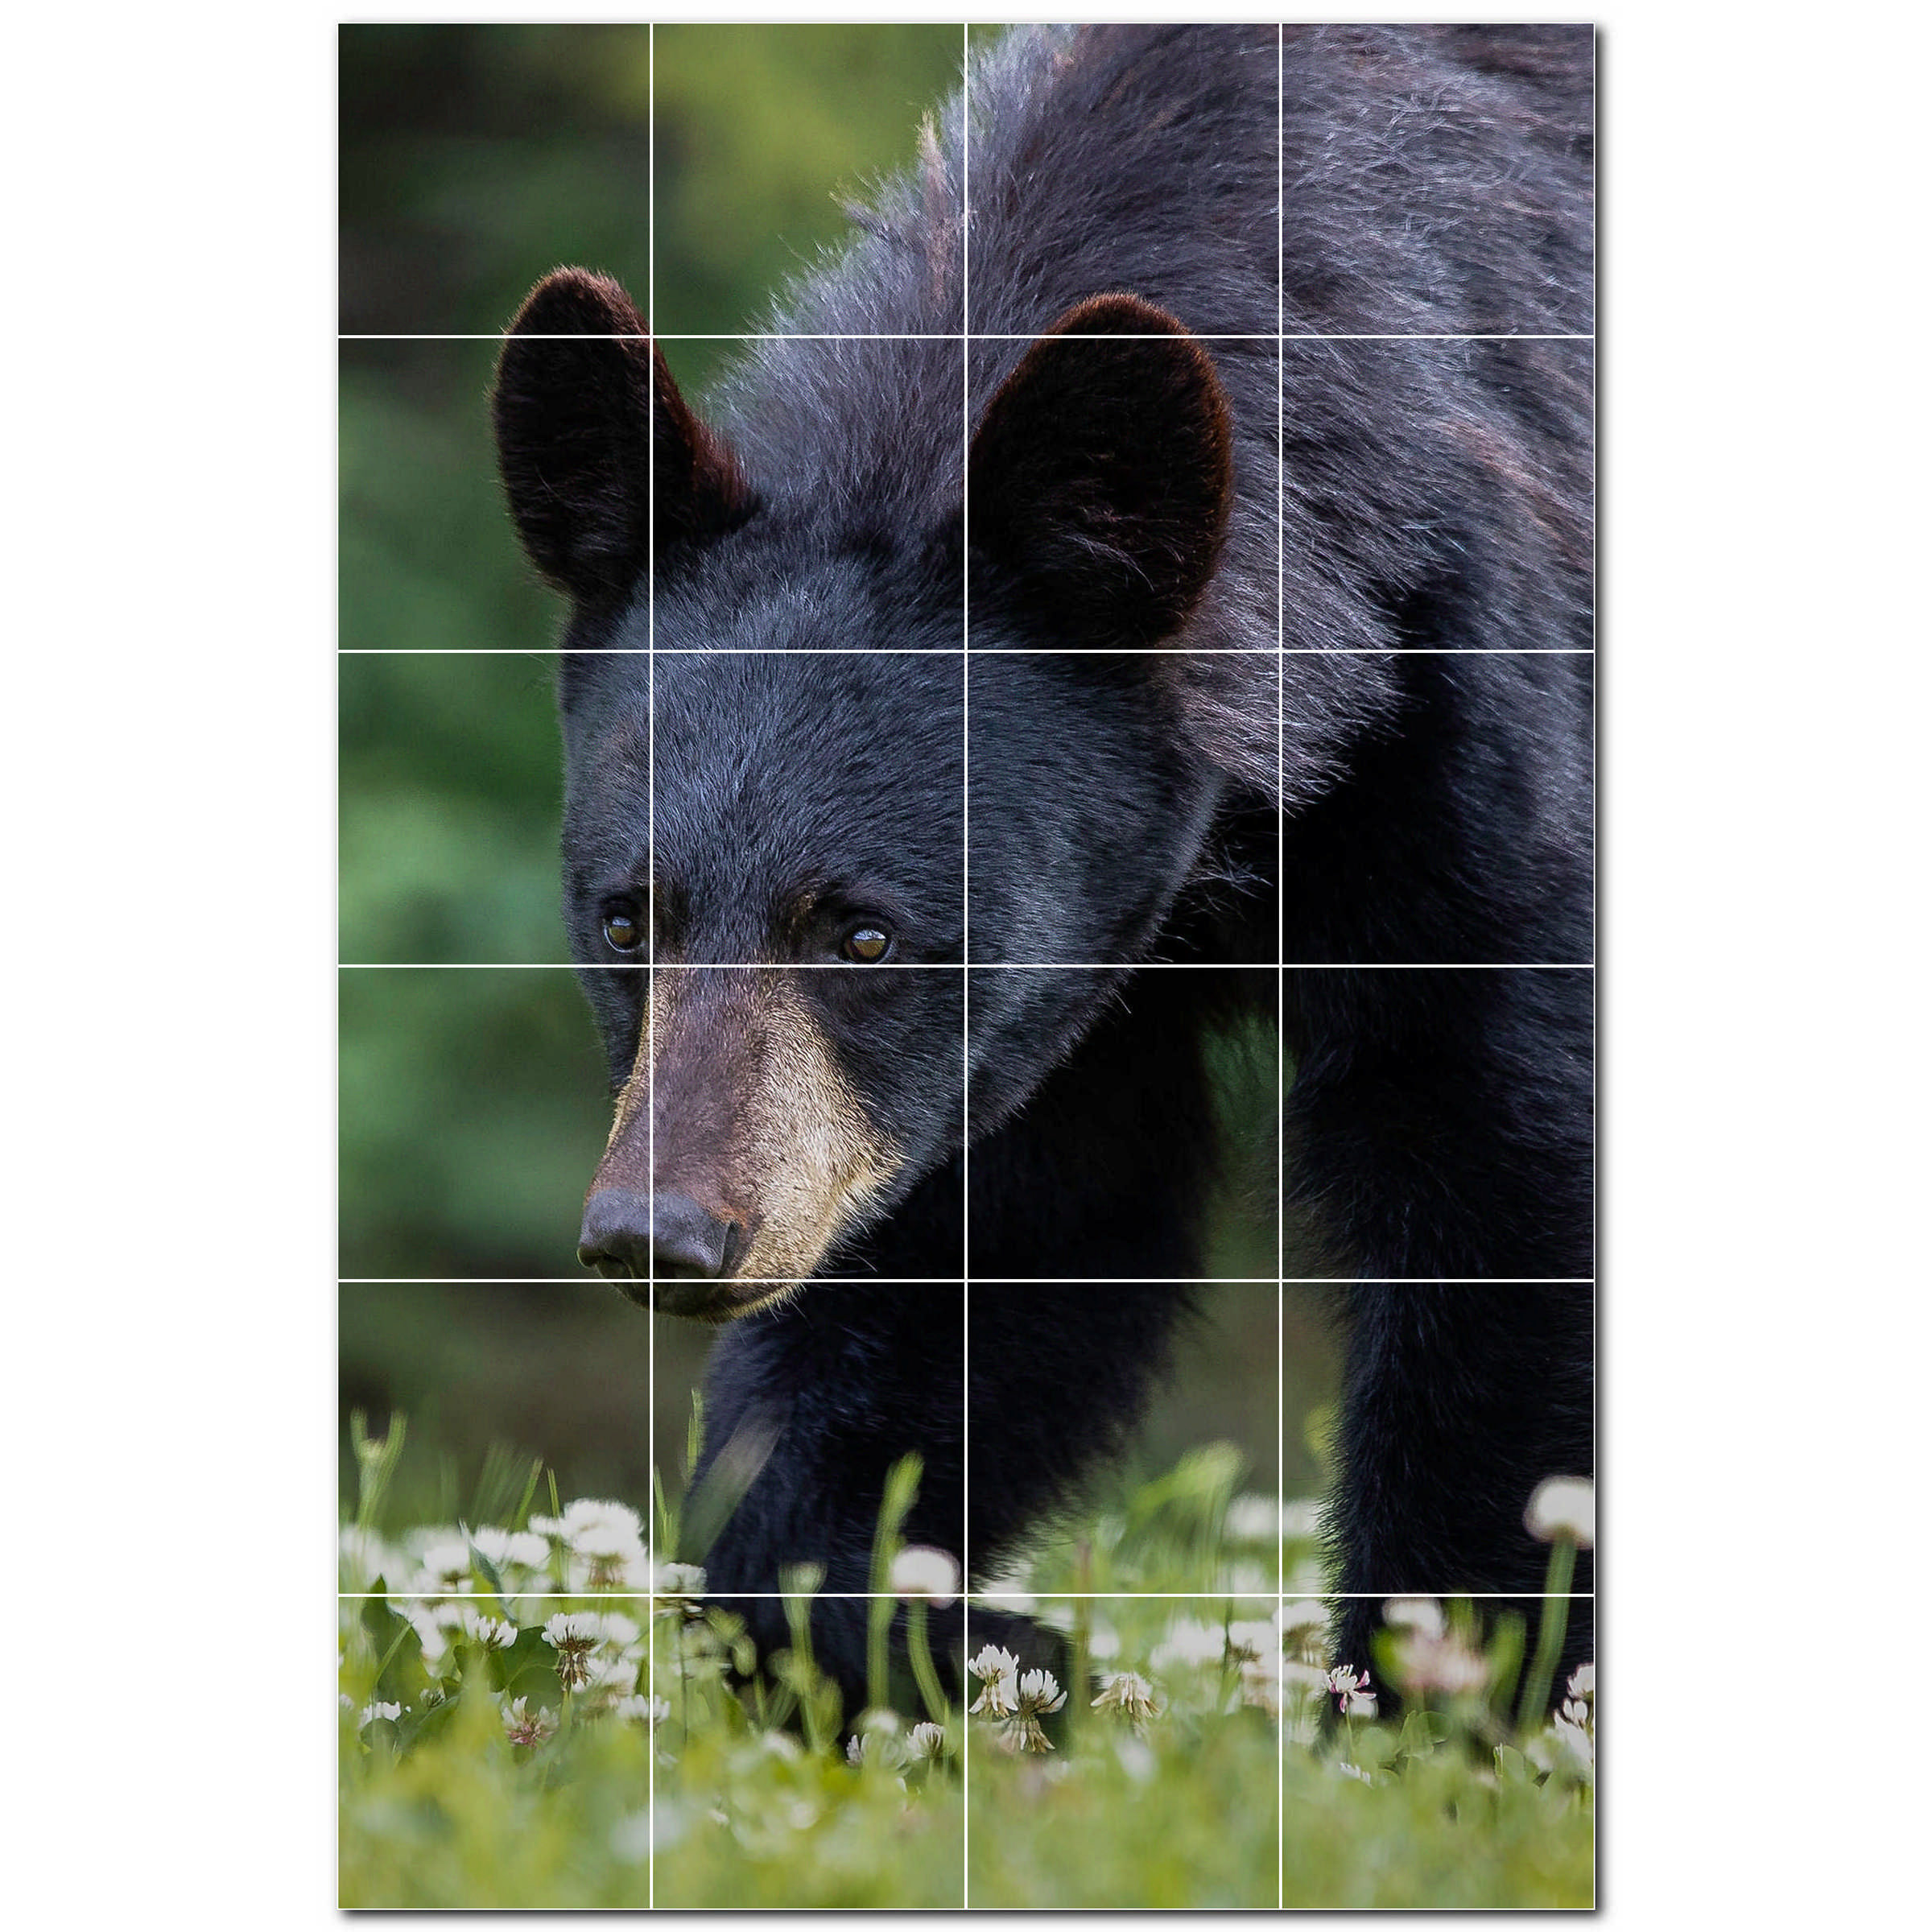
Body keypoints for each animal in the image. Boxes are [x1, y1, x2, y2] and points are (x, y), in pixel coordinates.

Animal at [491, 23, 1594, 1712]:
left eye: (863, 934)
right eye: (627, 923)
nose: (661, 1237)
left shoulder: (1467, 702)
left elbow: (1500, 1149)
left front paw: (1441, 1692)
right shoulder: (1029, 1005)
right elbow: (1008, 1241)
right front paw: (961, 1644)